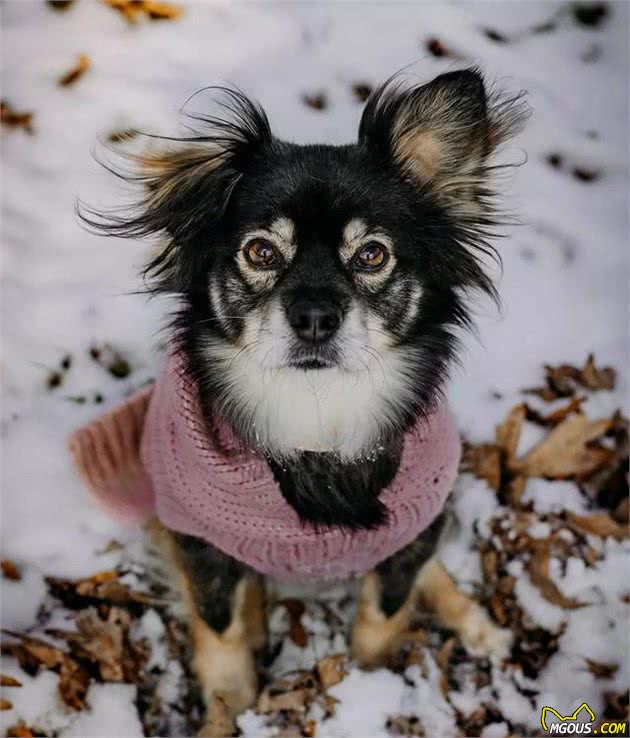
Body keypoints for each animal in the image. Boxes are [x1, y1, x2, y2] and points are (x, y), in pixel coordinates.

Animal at [79, 67, 532, 732]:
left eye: (372, 254)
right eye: (261, 251)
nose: (315, 316)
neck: (317, 410)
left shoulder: (412, 530)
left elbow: (383, 615)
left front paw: (368, 684)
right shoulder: (198, 542)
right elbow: (221, 633)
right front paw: (229, 710)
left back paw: (478, 627)